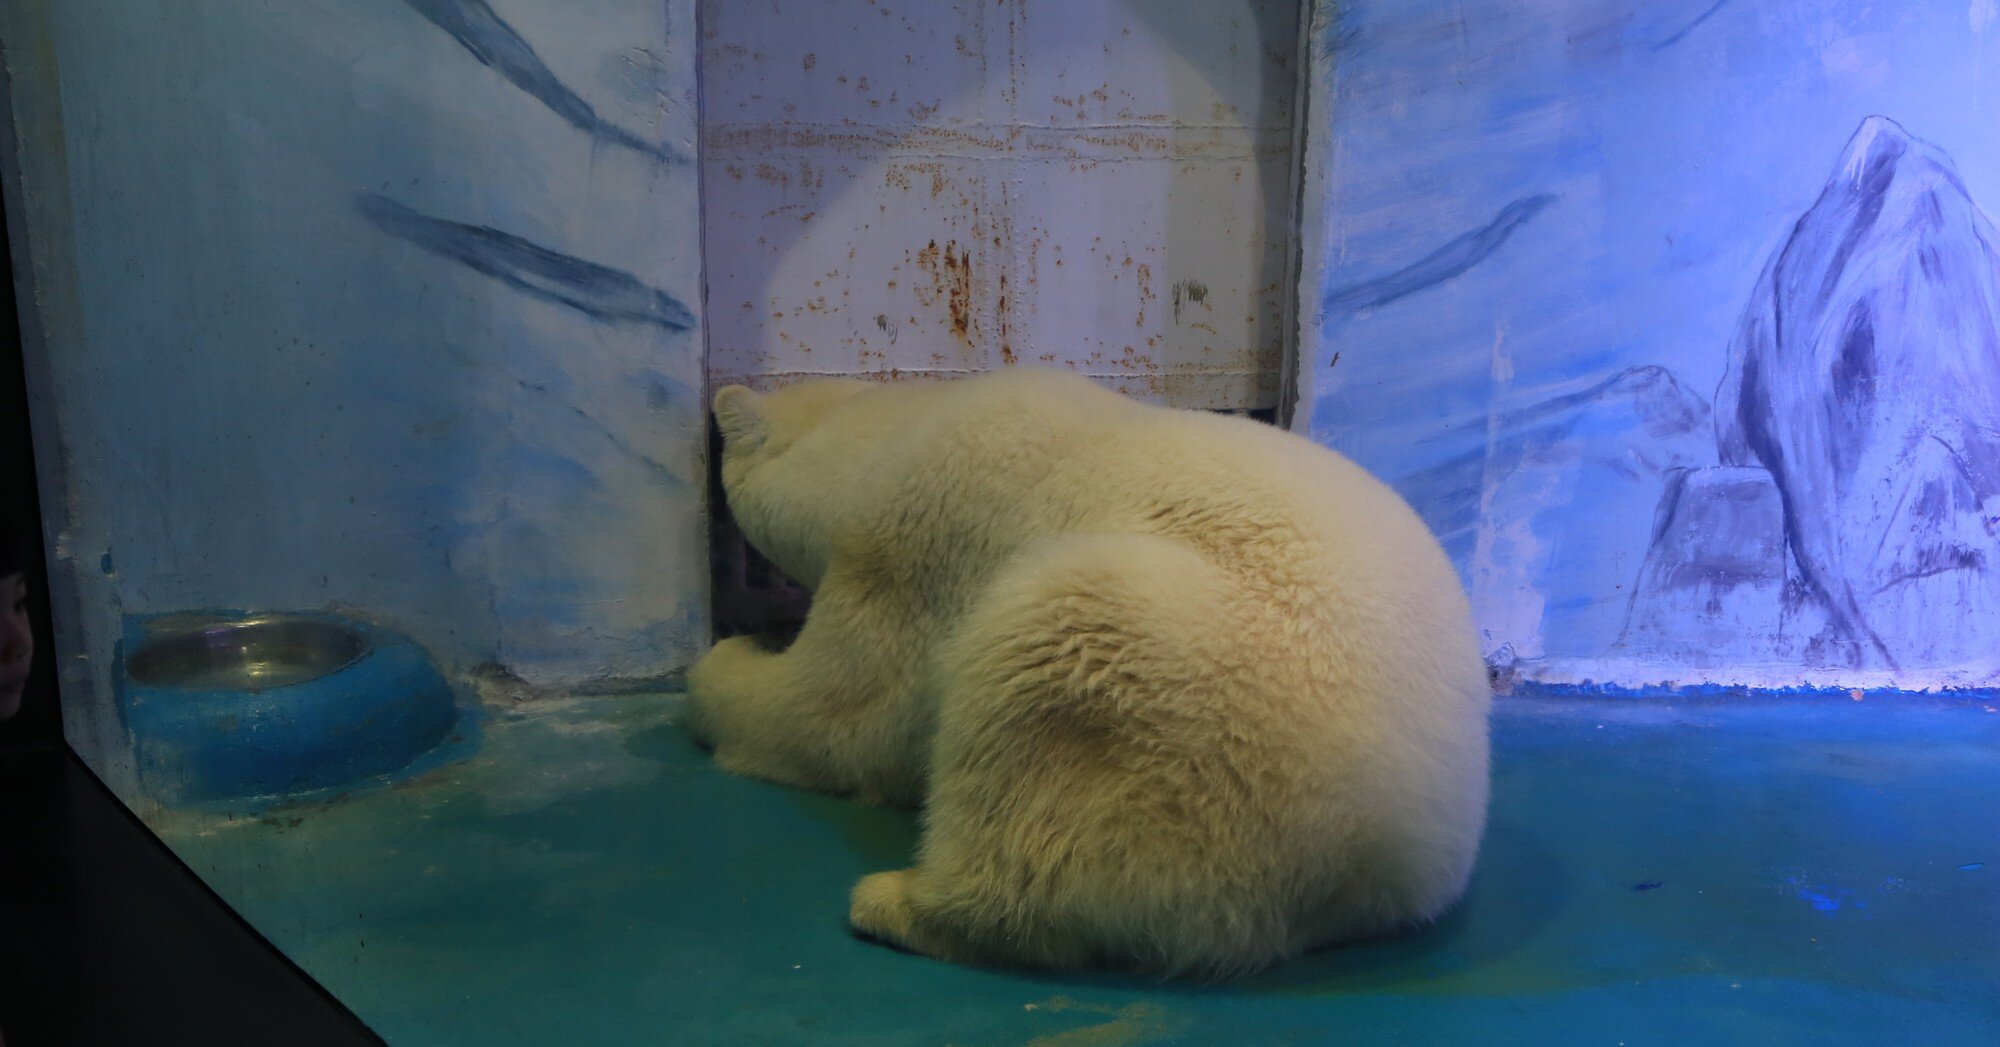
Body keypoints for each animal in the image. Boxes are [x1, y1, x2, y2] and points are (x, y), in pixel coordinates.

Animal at [685, 368, 1490, 979]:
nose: (718, 404)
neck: (903, 434)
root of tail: (1393, 858)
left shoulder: (915, 551)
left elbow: (839, 717)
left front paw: (723, 668)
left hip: (1199, 713)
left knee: (1041, 679)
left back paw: (899, 903)